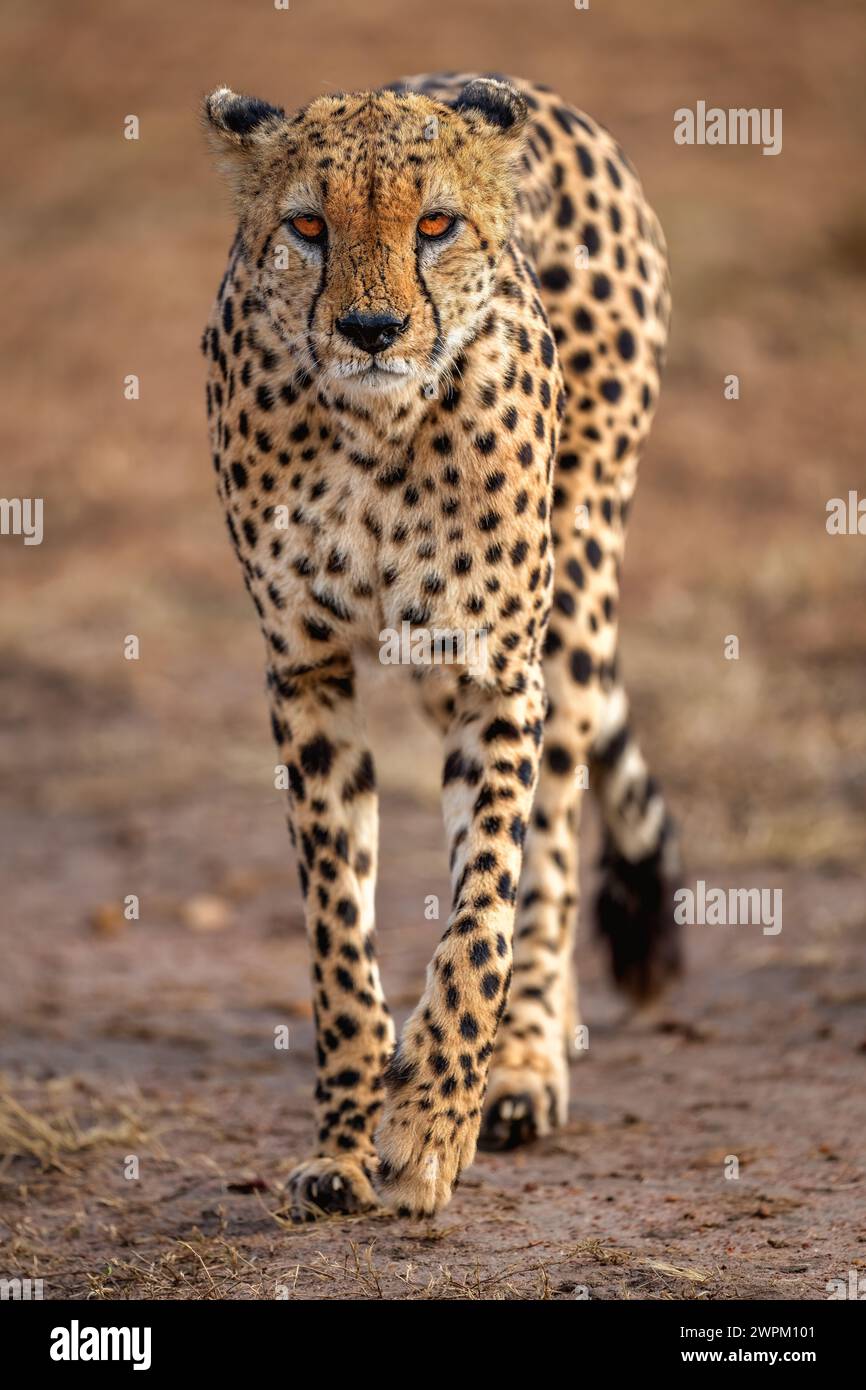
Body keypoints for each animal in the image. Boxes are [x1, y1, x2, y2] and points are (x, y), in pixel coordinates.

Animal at [201, 71, 682, 1220]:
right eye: (308, 226)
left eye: (434, 226)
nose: (372, 326)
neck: (375, 431)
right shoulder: (307, 671)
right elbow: (337, 930)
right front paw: (340, 1143)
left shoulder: (497, 672)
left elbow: (484, 909)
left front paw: (431, 1119)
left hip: (573, 597)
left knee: (553, 850)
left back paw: (521, 1066)